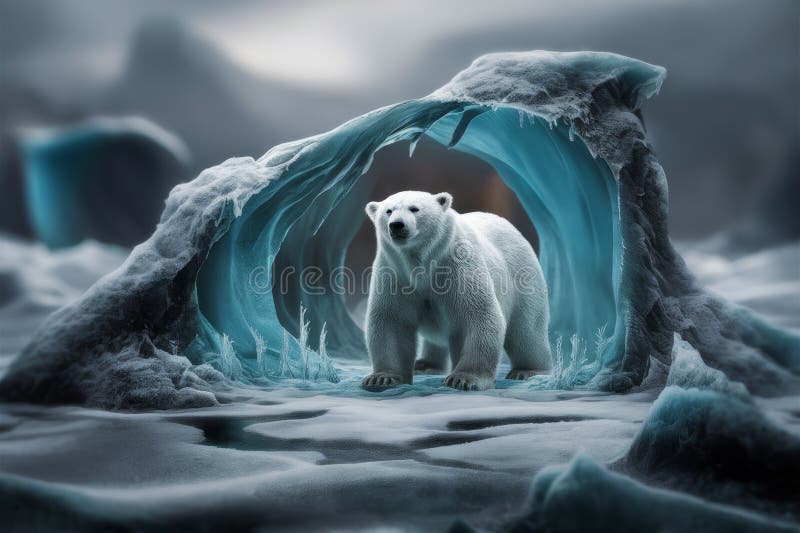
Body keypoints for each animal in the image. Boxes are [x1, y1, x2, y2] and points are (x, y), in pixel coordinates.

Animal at [362, 190, 551, 391]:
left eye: (414, 208)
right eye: (388, 211)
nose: (397, 225)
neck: (424, 263)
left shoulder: (458, 265)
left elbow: (479, 315)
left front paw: (463, 379)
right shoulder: (395, 272)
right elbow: (391, 320)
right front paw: (381, 378)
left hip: (522, 275)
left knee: (526, 329)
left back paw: (528, 371)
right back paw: (425, 364)